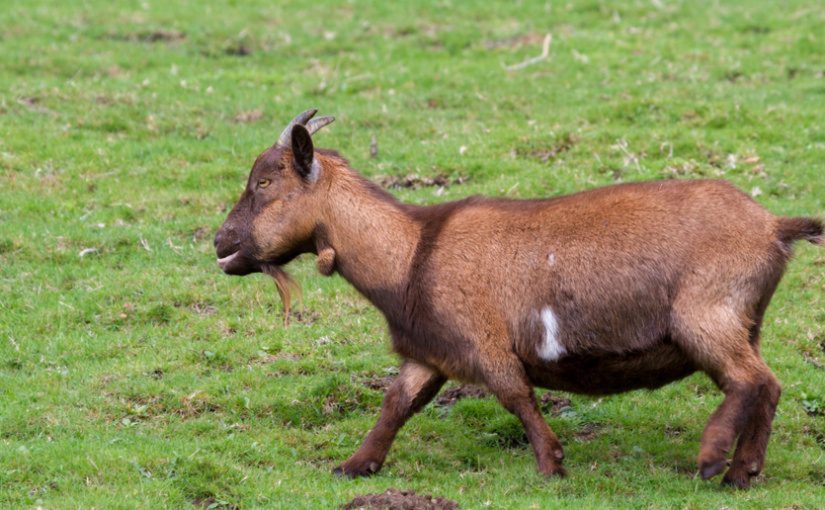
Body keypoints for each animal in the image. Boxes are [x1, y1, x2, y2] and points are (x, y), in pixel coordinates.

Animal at [214, 109, 823, 488]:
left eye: (265, 182)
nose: (221, 243)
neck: (413, 252)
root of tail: (773, 226)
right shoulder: (431, 352)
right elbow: (397, 404)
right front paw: (354, 466)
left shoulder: (486, 343)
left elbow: (516, 396)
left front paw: (551, 465)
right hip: (741, 321)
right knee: (766, 387)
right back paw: (743, 474)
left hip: (707, 315)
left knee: (751, 381)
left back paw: (712, 458)